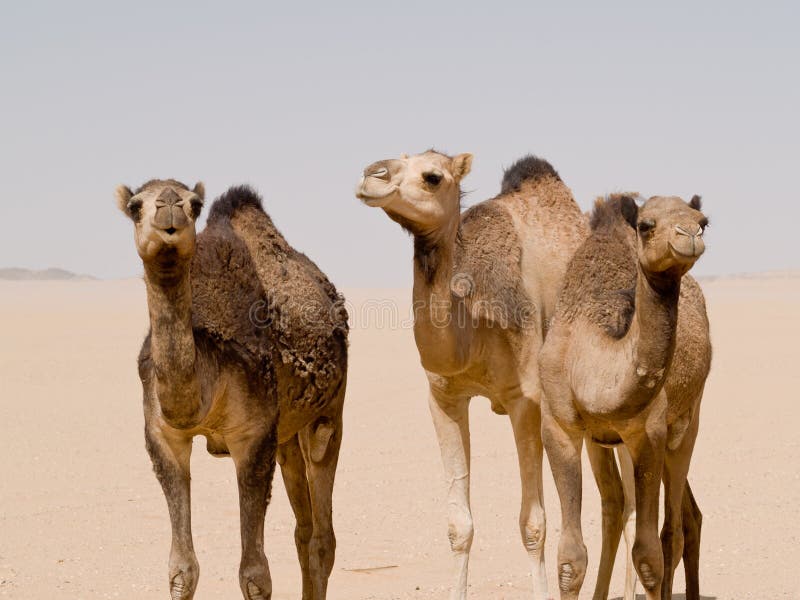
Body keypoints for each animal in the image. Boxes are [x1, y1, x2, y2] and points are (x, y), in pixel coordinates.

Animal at [115, 180, 348, 600]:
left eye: (194, 204)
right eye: (135, 206)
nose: (169, 206)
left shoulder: (252, 438)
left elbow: (255, 574)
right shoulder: (164, 437)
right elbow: (182, 569)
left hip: (329, 413)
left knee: (323, 537)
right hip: (285, 436)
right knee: (303, 530)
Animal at [355, 150, 587, 599]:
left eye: (432, 176)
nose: (372, 175)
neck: (475, 324)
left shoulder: (524, 400)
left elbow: (533, 524)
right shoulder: (443, 398)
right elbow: (458, 526)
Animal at [538, 193, 710, 600]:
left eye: (703, 222)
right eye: (646, 225)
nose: (689, 236)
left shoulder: (649, 435)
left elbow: (649, 557)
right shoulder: (560, 427)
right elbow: (570, 559)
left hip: (686, 422)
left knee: (673, 531)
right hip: (603, 442)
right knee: (623, 505)